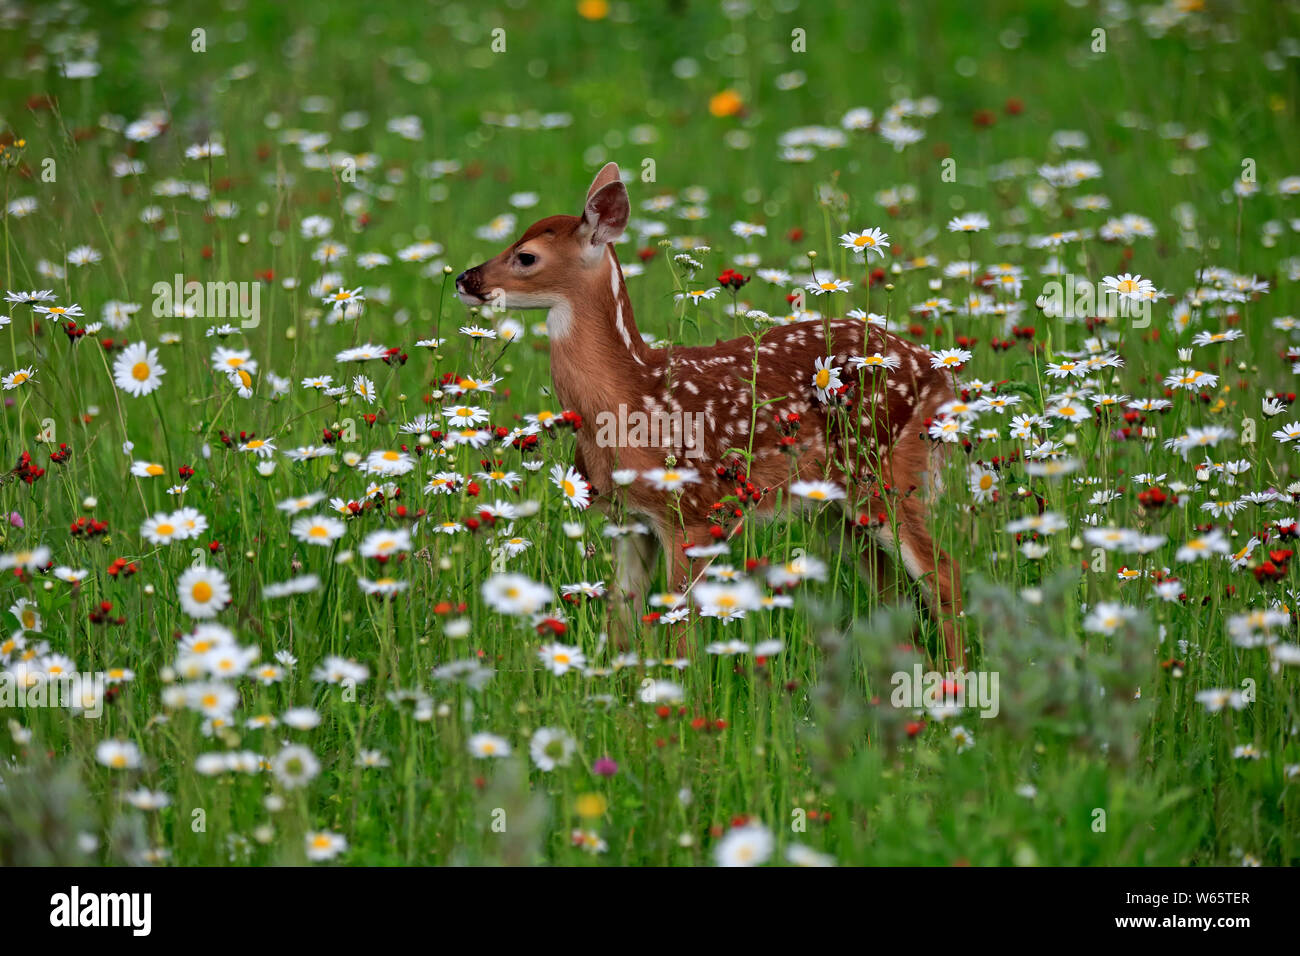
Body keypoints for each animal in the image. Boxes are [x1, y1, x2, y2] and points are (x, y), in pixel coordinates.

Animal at [456, 163, 965, 670]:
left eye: (526, 256)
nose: (464, 279)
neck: (630, 398)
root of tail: (939, 371)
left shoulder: (694, 512)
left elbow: (680, 631)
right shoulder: (629, 519)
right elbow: (620, 624)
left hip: (885, 473)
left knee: (944, 574)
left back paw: (953, 677)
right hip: (833, 507)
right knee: (893, 590)